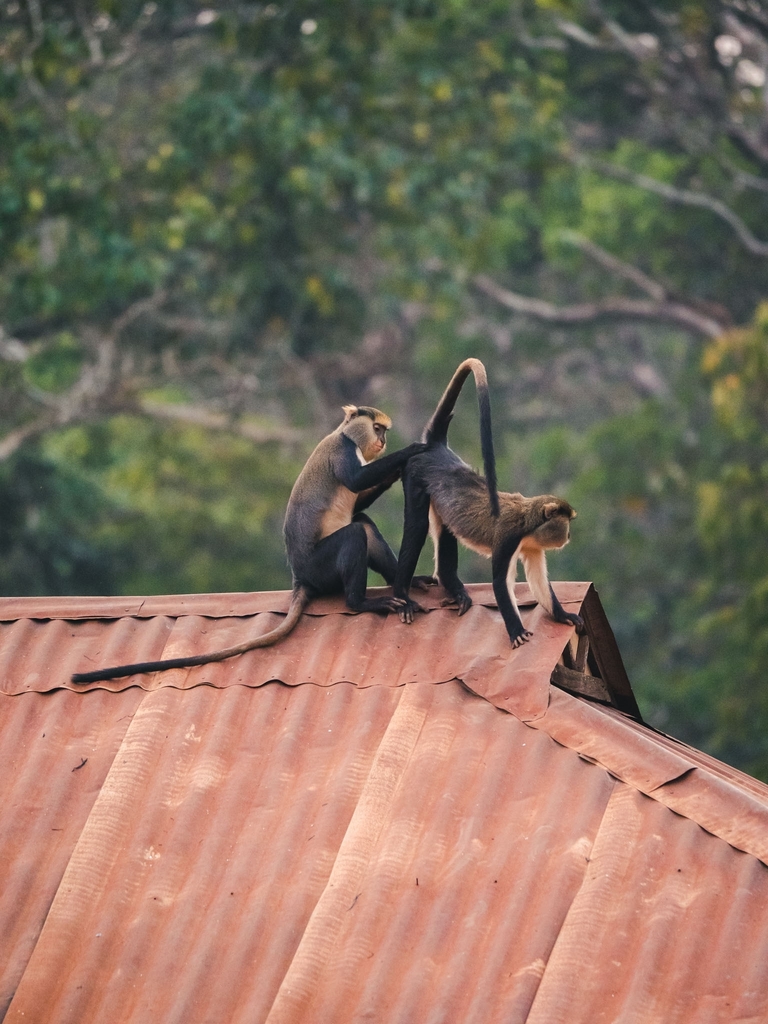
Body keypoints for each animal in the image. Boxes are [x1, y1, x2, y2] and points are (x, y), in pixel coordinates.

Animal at [71, 406, 427, 683]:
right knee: (354, 533)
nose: (383, 441)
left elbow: (360, 504)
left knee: (363, 524)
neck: (345, 435)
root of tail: (300, 578)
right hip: (321, 566)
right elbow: (355, 482)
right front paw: (411, 452)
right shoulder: (341, 451)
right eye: (377, 428)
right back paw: (361, 603)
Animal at [392, 358, 584, 648]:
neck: (529, 521)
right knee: (416, 527)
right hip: (415, 475)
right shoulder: (508, 538)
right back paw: (402, 595)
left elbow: (538, 580)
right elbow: (499, 583)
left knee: (446, 529)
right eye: (566, 523)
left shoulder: (532, 546)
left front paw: (562, 615)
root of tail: (436, 449)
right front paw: (517, 631)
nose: (569, 535)